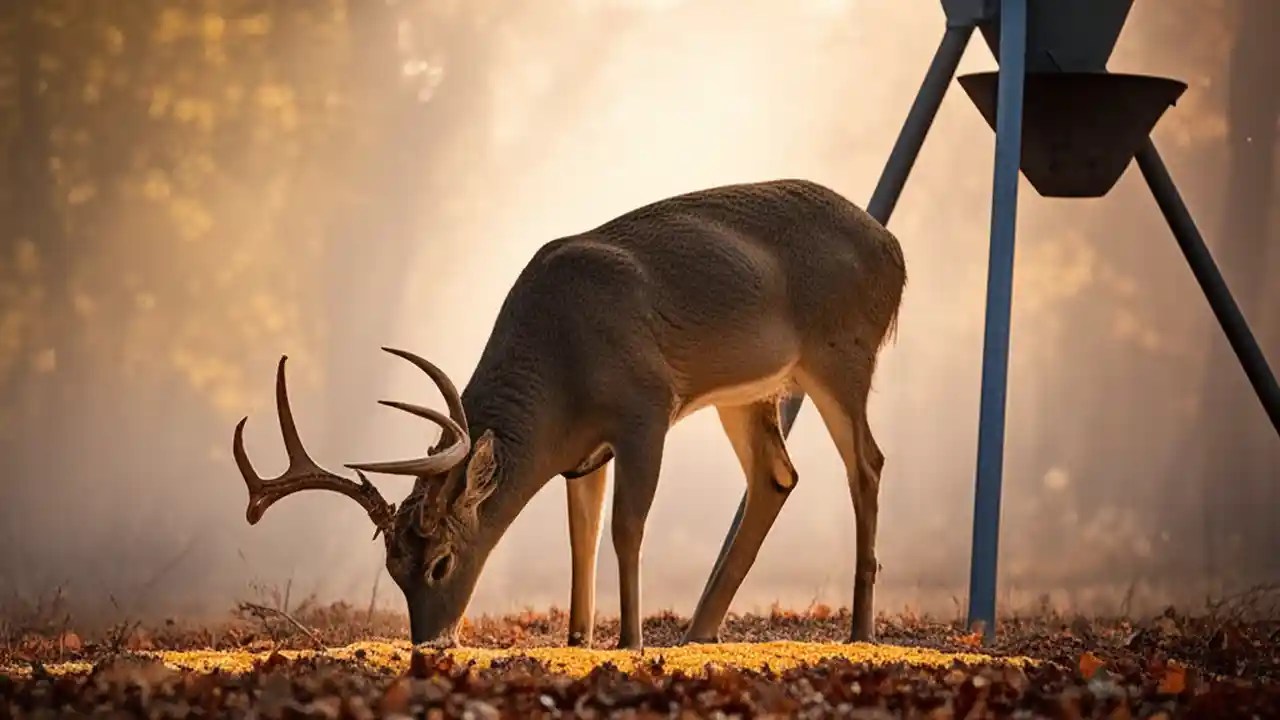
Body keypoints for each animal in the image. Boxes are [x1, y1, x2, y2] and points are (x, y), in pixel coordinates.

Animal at [231, 178, 905, 649]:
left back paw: (860, 630)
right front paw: (578, 638)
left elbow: (626, 528)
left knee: (867, 463)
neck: (561, 369)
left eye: (442, 562)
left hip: (842, 353)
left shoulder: (645, 408)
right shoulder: (582, 455)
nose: (430, 643)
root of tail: (893, 249)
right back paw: (698, 631)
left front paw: (628, 642)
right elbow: (581, 536)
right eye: (393, 568)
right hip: (748, 393)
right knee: (778, 475)